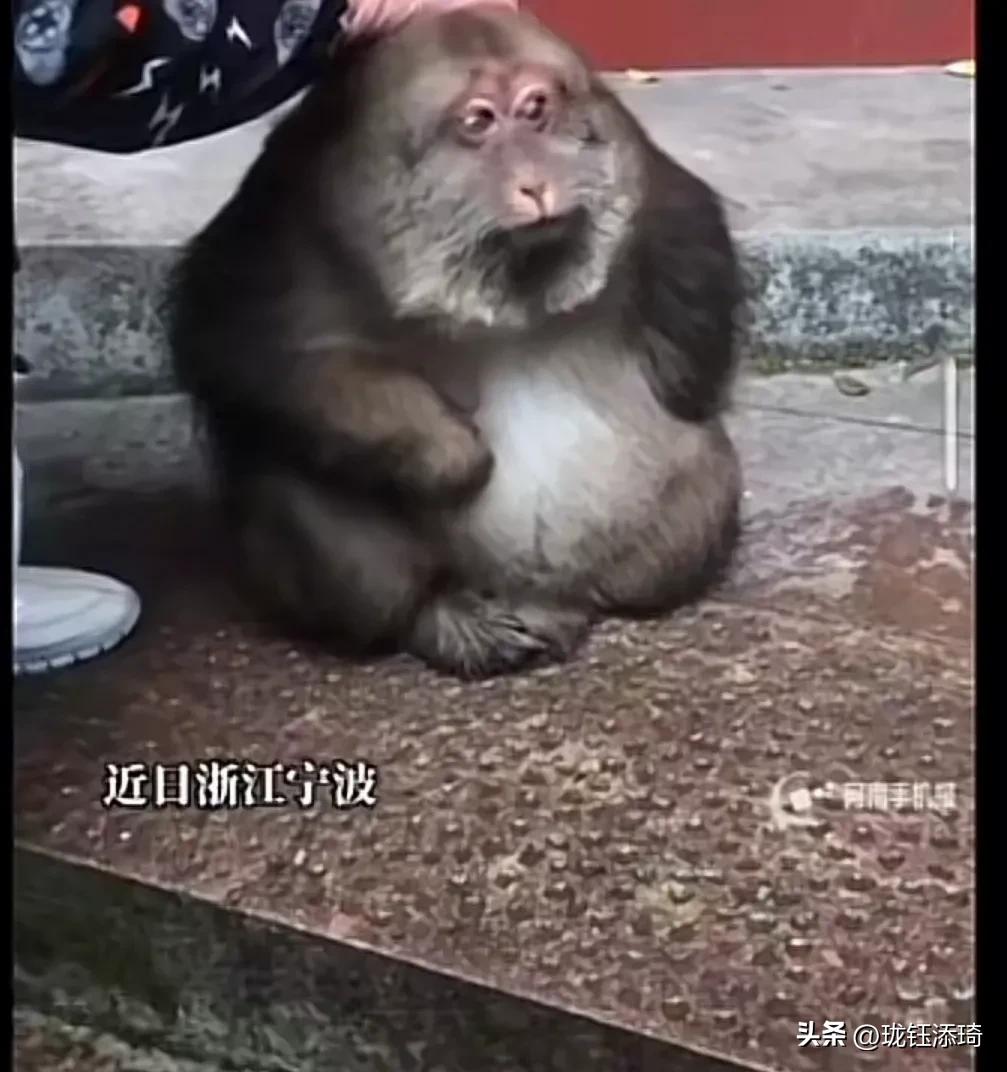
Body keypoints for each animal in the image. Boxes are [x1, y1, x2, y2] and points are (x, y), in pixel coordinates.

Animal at [167, 4, 746, 680]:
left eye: (535, 109)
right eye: (479, 122)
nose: (536, 182)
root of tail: (538, 592)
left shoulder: (630, 160)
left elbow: (691, 263)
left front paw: (683, 375)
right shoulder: (292, 197)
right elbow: (233, 335)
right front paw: (450, 454)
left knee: (703, 464)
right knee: (289, 477)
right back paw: (437, 615)